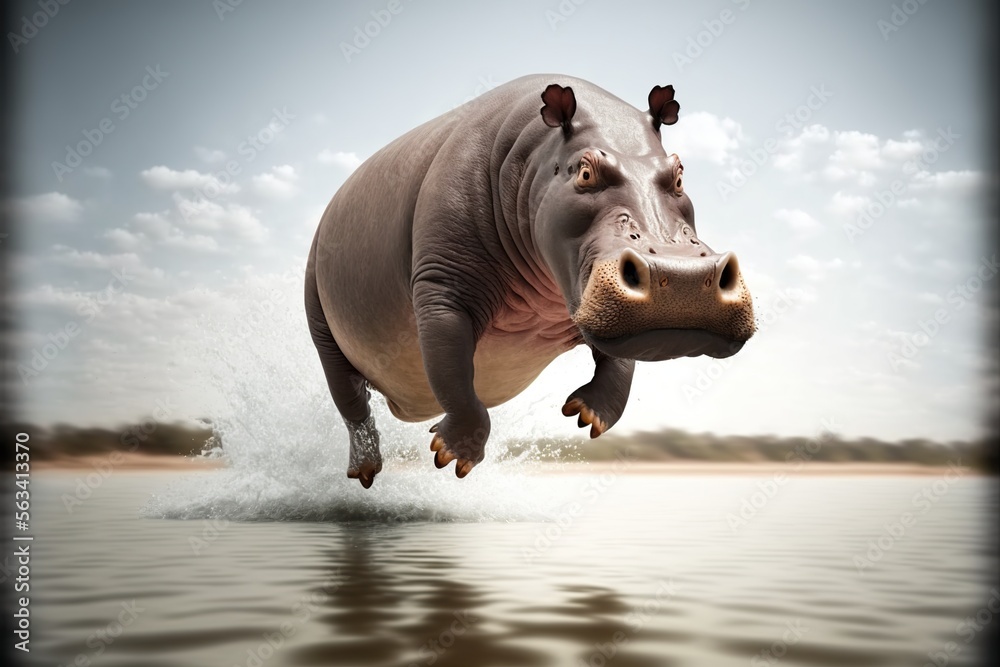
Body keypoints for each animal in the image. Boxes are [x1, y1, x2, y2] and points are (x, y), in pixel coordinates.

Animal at [306, 74, 754, 488]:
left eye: (678, 175)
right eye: (585, 172)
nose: (680, 275)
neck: (534, 152)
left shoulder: (596, 304)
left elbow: (621, 363)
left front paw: (587, 414)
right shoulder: (442, 289)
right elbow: (453, 374)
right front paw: (451, 455)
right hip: (320, 320)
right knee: (351, 401)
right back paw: (364, 472)